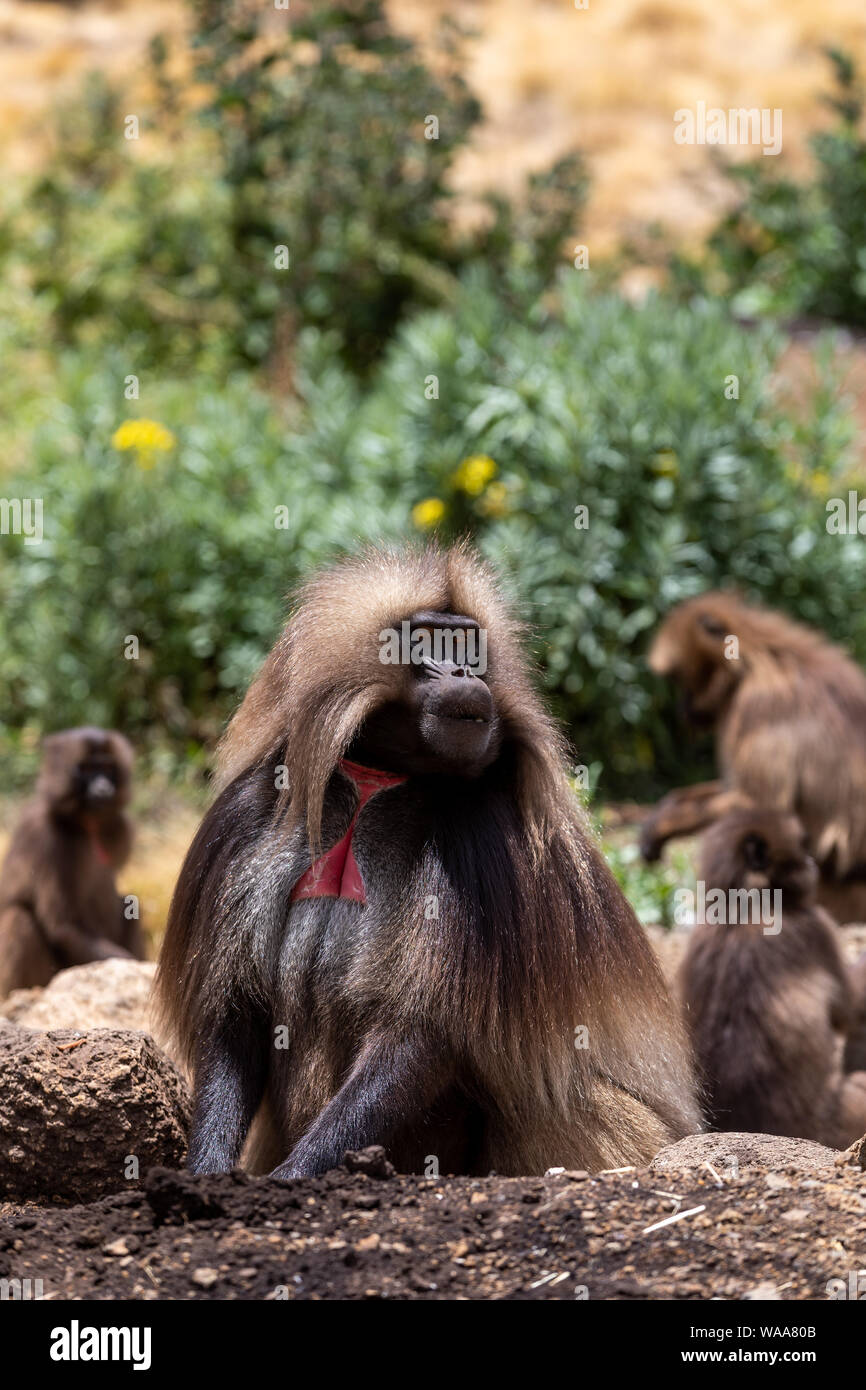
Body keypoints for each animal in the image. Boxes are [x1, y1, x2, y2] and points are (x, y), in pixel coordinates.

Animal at [0, 728, 142, 997]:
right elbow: (63, 925)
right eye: (87, 769)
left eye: (106, 767)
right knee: (18, 918)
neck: (85, 824)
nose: (103, 788)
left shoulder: (120, 826)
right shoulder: (44, 836)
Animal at [156, 543, 701, 1179]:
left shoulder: (484, 837)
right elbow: (234, 1019)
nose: (465, 674)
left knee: (563, 1094)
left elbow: (421, 1036)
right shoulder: (247, 815)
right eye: (429, 644)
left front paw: (290, 1180)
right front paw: (209, 1174)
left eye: (469, 647)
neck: (377, 781)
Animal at [640, 591, 866, 922]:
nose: (682, 709)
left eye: (679, 679)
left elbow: (761, 805)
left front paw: (661, 825)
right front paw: (663, 811)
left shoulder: (756, 707)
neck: (754, 662)